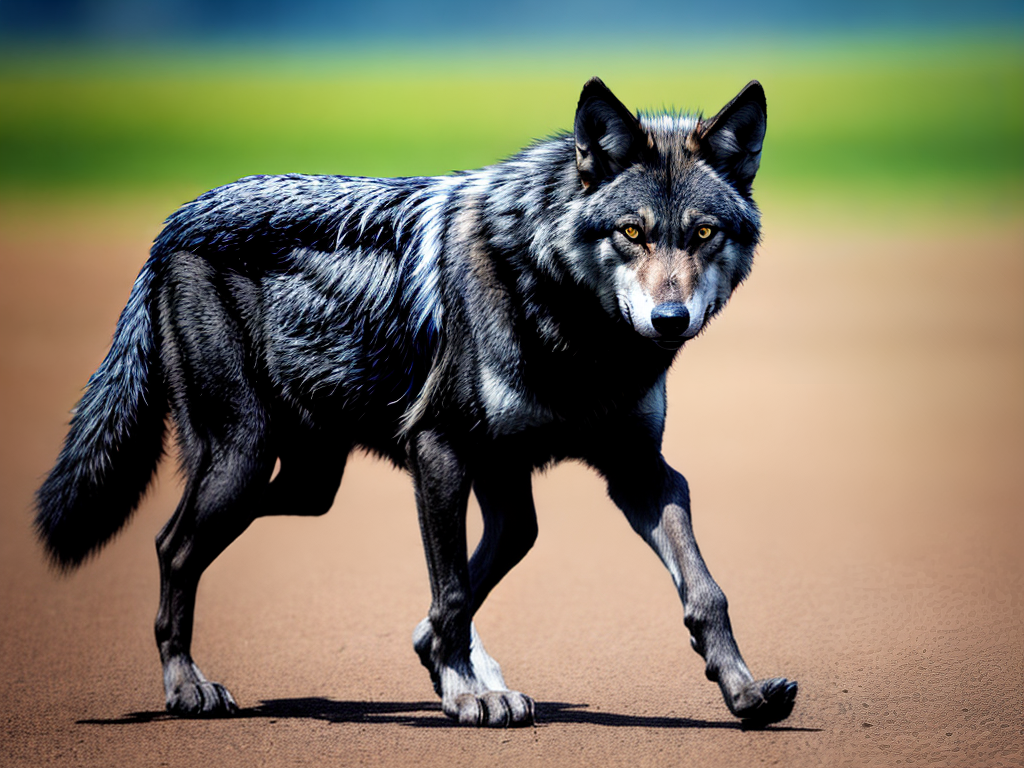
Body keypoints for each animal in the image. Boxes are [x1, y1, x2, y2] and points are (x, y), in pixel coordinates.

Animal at [35, 77, 797, 728]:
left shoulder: (638, 472)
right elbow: (451, 590)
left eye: (703, 233)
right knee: (172, 546)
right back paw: (186, 686)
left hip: (316, 485)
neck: (577, 334)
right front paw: (465, 695)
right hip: (244, 463)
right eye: (632, 232)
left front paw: (745, 691)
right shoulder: (439, 452)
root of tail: (177, 220)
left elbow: (704, 591)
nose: (670, 319)